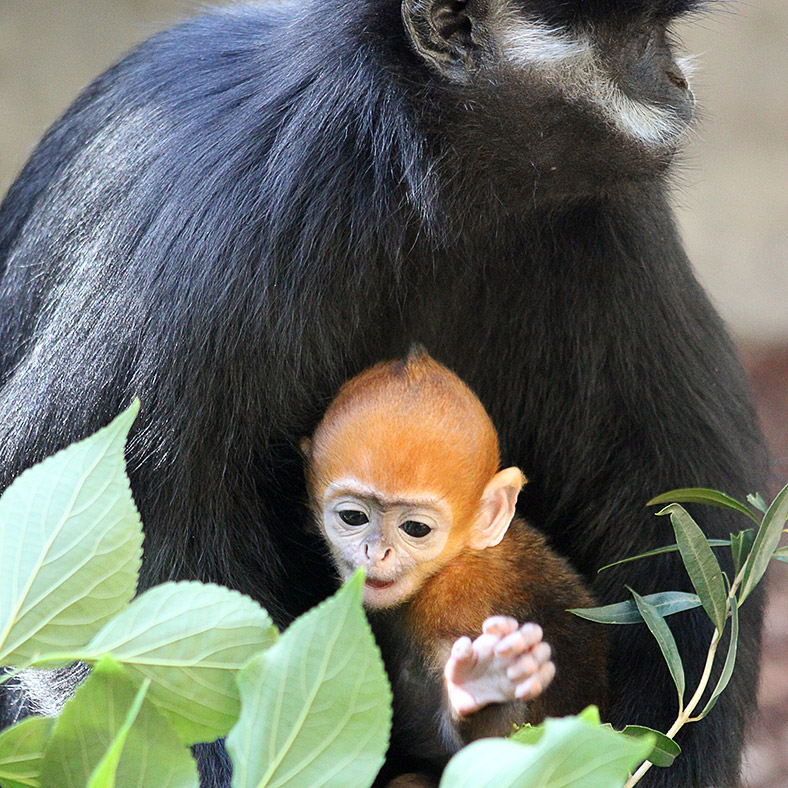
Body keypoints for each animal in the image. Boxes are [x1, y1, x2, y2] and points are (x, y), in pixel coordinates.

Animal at [302, 349, 608, 783]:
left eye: (415, 528)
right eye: (353, 517)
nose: (375, 552)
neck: (449, 565)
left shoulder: (458, 603)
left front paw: (485, 691)